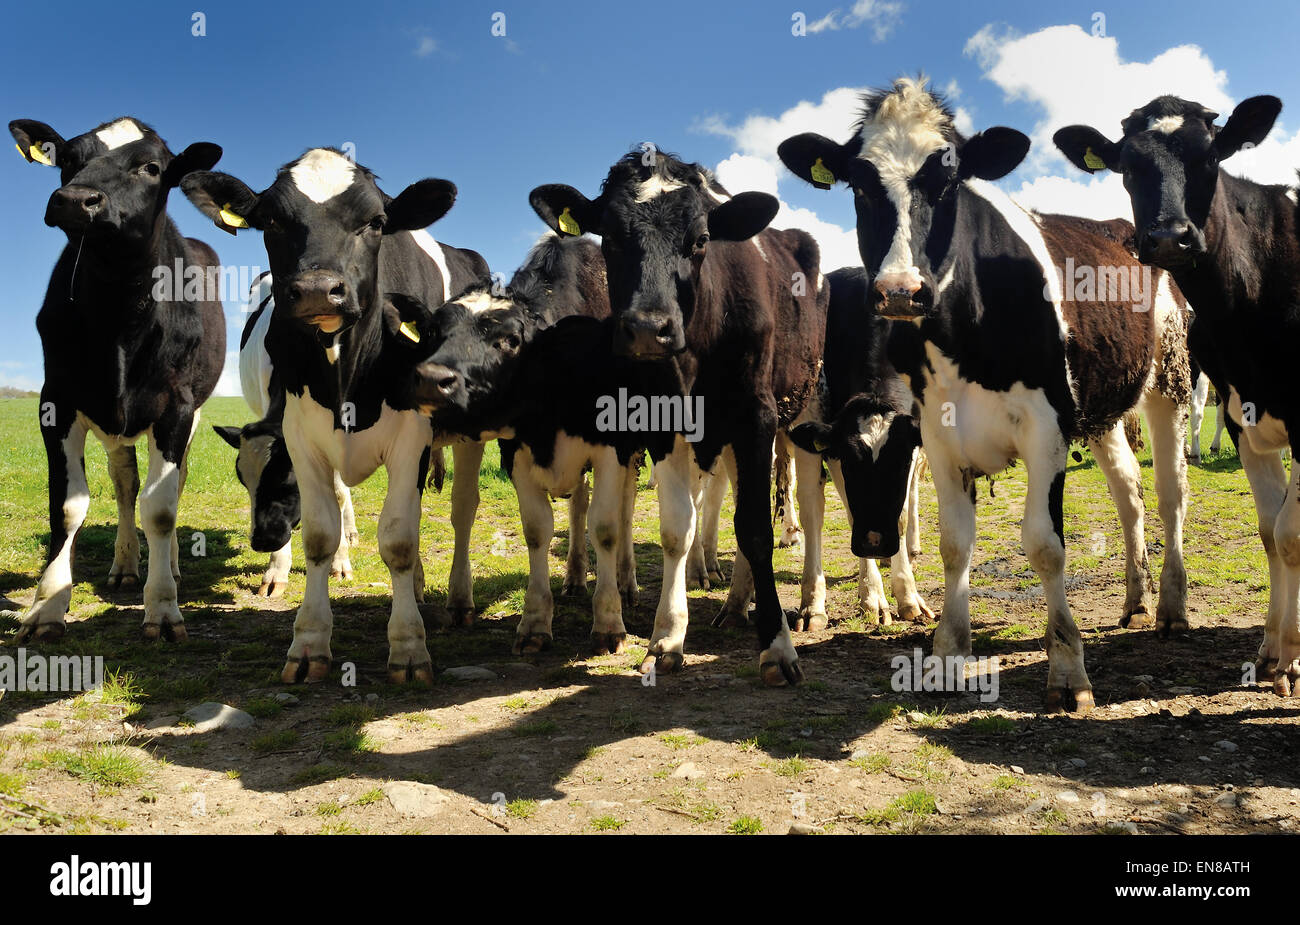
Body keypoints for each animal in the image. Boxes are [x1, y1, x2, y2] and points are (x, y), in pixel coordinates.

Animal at [9, 117, 225, 644]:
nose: (74, 199)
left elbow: (162, 508)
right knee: (125, 485)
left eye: (151, 167)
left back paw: (169, 565)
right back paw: (127, 564)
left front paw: (163, 607)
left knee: (168, 487)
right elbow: (68, 506)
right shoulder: (56, 400)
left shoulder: (176, 408)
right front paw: (47, 607)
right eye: (68, 158)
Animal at [182, 147, 490, 683]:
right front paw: (307, 640)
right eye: (271, 221)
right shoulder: (301, 434)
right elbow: (321, 534)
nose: (316, 289)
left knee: (461, 511)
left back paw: (458, 598)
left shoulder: (411, 439)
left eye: (376, 221)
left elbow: (400, 540)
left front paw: (408, 647)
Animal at [529, 149, 829, 685]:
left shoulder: (756, 417)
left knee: (809, 510)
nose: (650, 328)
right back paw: (736, 603)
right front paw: (667, 637)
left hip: (802, 411)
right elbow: (677, 531)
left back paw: (811, 605)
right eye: (609, 237)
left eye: (701, 239)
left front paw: (777, 647)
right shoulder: (663, 421)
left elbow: (756, 529)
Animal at [779, 78, 1192, 711]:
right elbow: (953, 544)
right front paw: (948, 653)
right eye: (859, 184)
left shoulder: (1046, 429)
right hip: (1098, 413)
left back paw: (1170, 605)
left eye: (948, 181)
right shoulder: (937, 433)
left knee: (1171, 494)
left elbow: (1045, 546)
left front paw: (1068, 670)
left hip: (1168, 380)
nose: (901, 291)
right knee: (1130, 490)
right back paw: (1136, 598)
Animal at [1054, 93, 1300, 695]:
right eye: (1126, 166)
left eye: (1210, 156)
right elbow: (1272, 533)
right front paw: (1273, 652)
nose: (1169, 237)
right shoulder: (1243, 420)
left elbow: (1292, 533)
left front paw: (1290, 656)